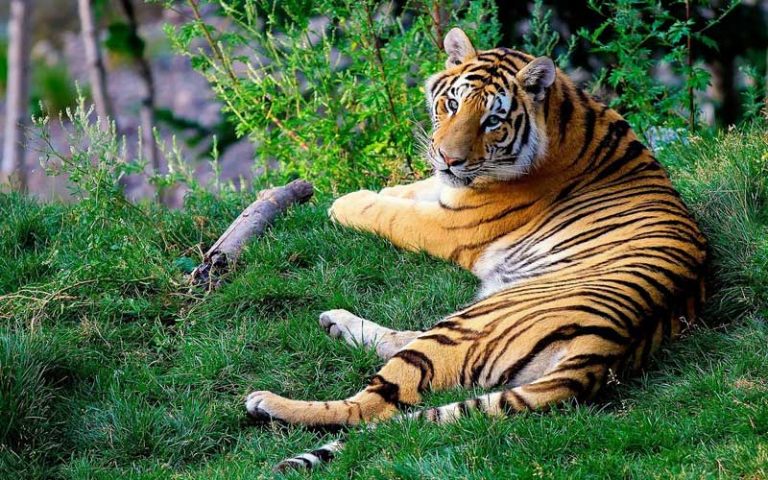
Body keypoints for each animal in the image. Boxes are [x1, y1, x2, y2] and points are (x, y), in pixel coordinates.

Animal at [245, 27, 707, 472]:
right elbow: (410, 190)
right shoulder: (447, 191)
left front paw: (345, 202)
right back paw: (336, 323)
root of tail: (606, 351)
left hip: (470, 323)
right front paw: (382, 189)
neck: (564, 114)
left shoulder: (449, 224)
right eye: (451, 104)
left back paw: (267, 402)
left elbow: (390, 213)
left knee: (372, 406)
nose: (449, 159)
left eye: (492, 121)